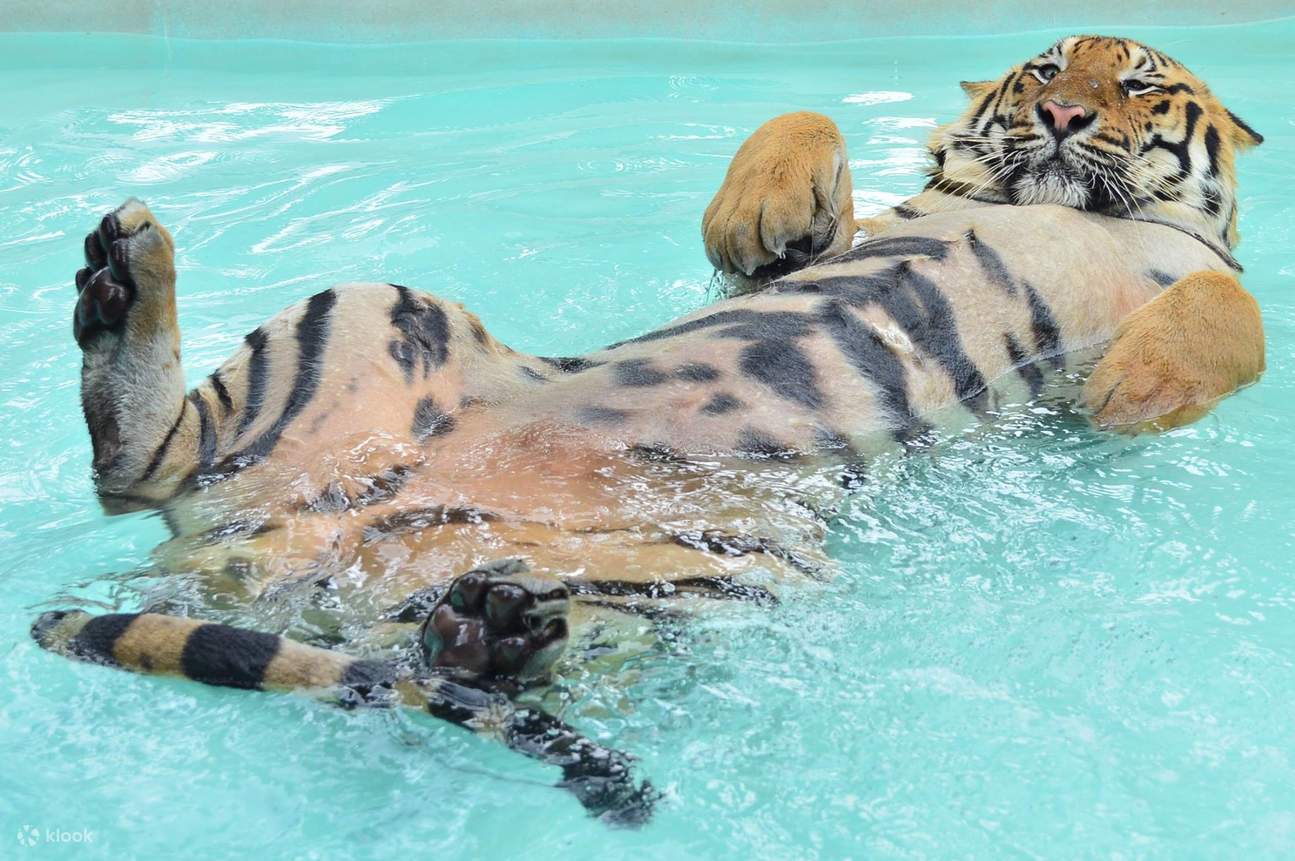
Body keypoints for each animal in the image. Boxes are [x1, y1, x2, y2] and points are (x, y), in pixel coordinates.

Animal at [32, 35, 1265, 824]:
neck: (1042, 200)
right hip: (375, 312)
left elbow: (1230, 318)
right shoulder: (830, 243)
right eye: (1046, 73)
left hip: (717, 569)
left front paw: (1138, 389)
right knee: (142, 465)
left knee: (483, 661)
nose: (1060, 118)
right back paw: (121, 278)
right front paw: (763, 201)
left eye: (1139, 83)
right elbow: (798, 132)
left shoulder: (1173, 296)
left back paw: (485, 633)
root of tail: (272, 560)